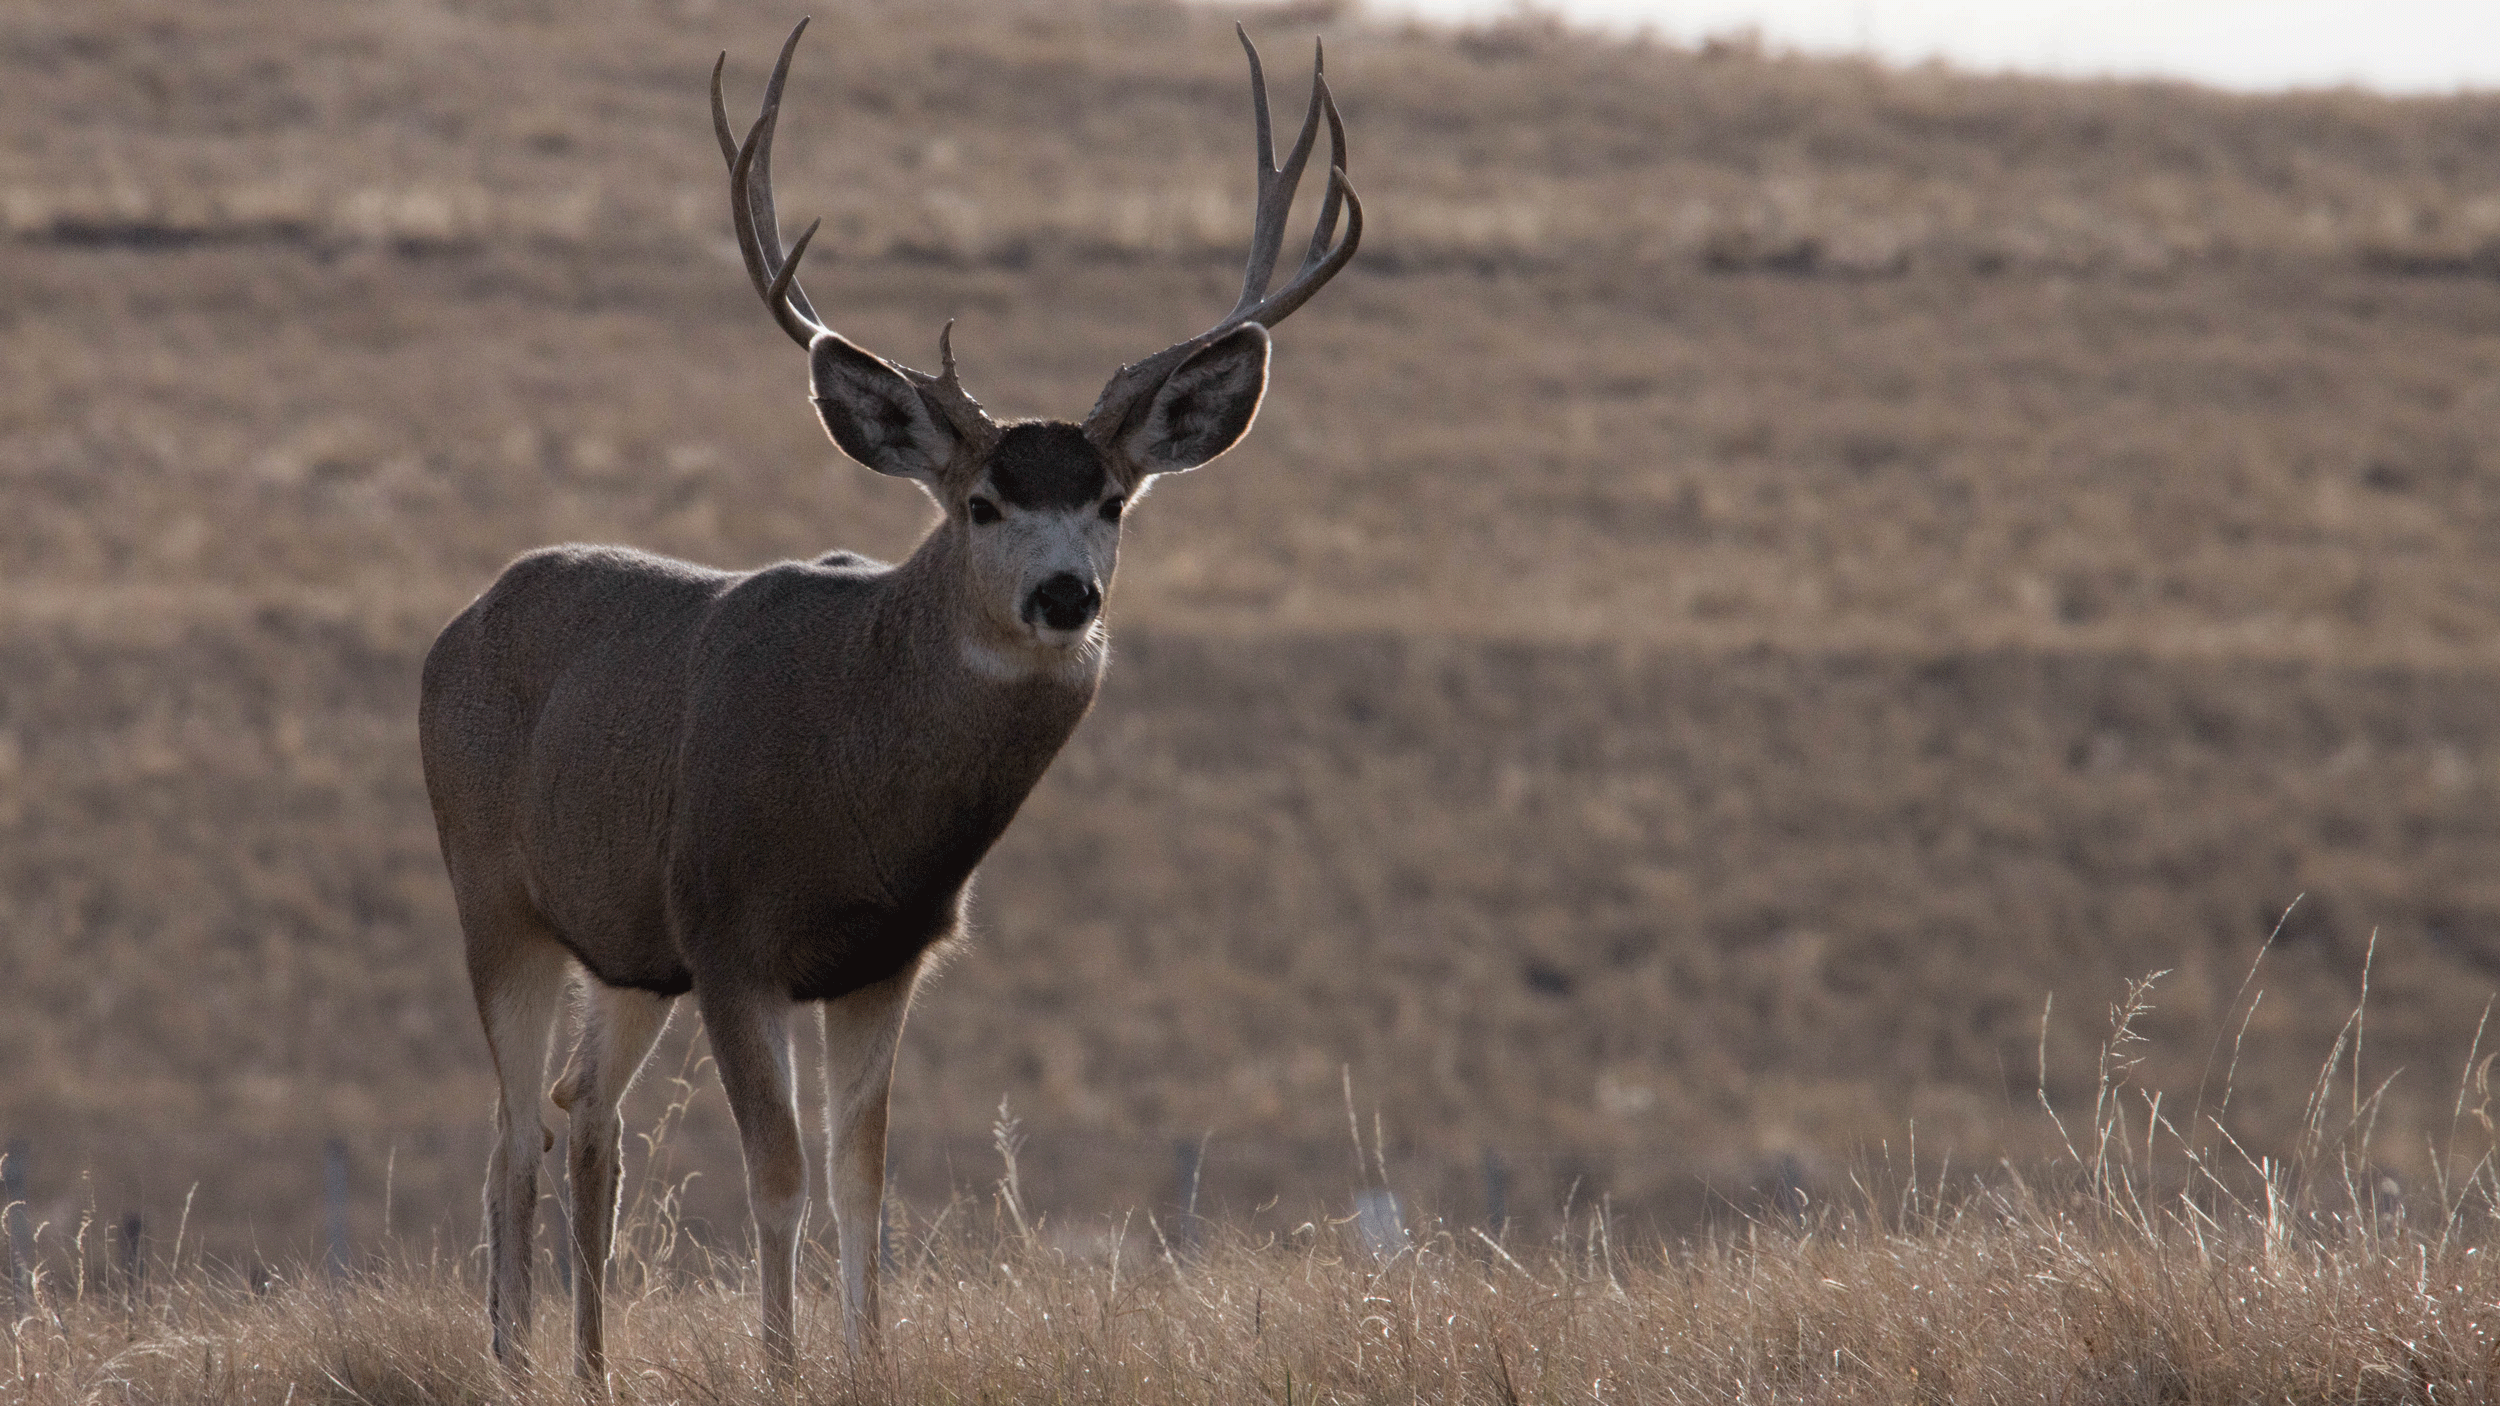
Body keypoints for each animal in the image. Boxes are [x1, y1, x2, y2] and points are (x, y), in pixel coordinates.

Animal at [417, 16, 1359, 1382]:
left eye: (1112, 499)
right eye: (983, 502)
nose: (1066, 594)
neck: (861, 799)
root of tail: (455, 626)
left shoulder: (882, 955)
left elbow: (863, 1182)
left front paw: (864, 1359)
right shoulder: (730, 929)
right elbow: (779, 1175)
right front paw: (780, 1364)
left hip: (626, 947)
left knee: (581, 1113)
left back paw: (592, 1366)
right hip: (496, 897)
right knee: (510, 1140)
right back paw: (515, 1362)